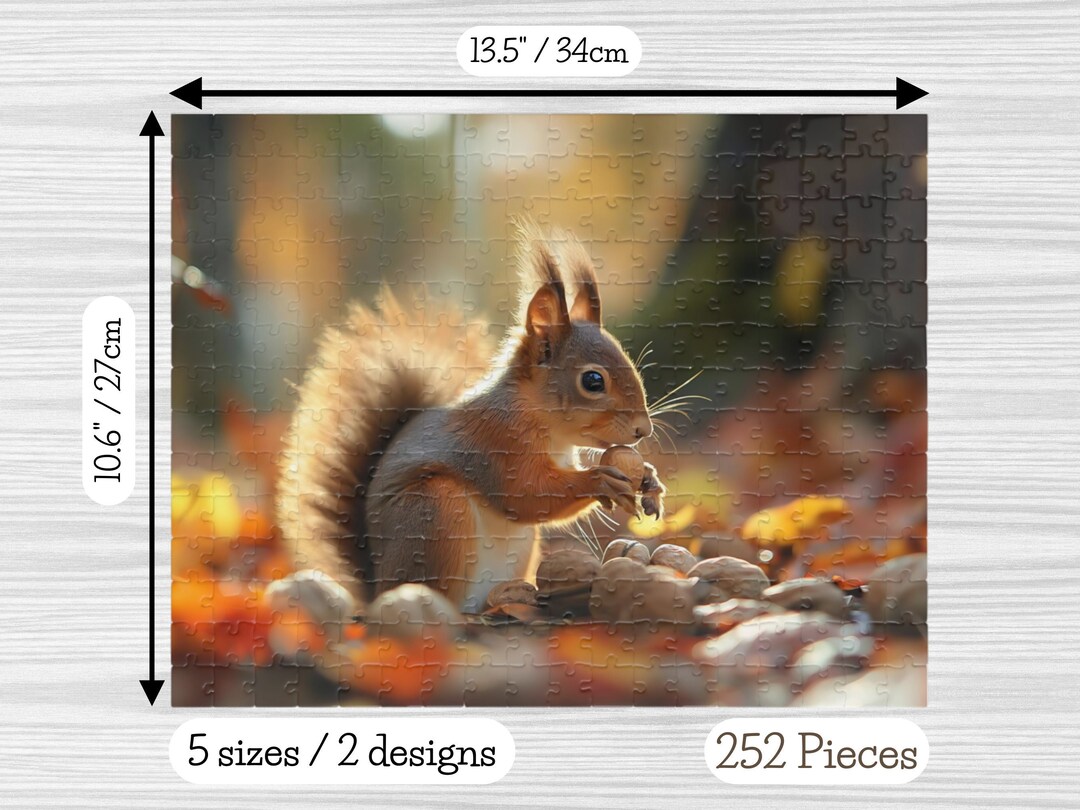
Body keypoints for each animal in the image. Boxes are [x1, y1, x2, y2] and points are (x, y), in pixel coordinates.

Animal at [276, 220, 665, 614]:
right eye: (593, 381)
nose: (643, 429)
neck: (541, 419)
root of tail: (379, 589)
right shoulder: (494, 441)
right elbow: (524, 495)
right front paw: (599, 480)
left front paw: (649, 479)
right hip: (436, 511)